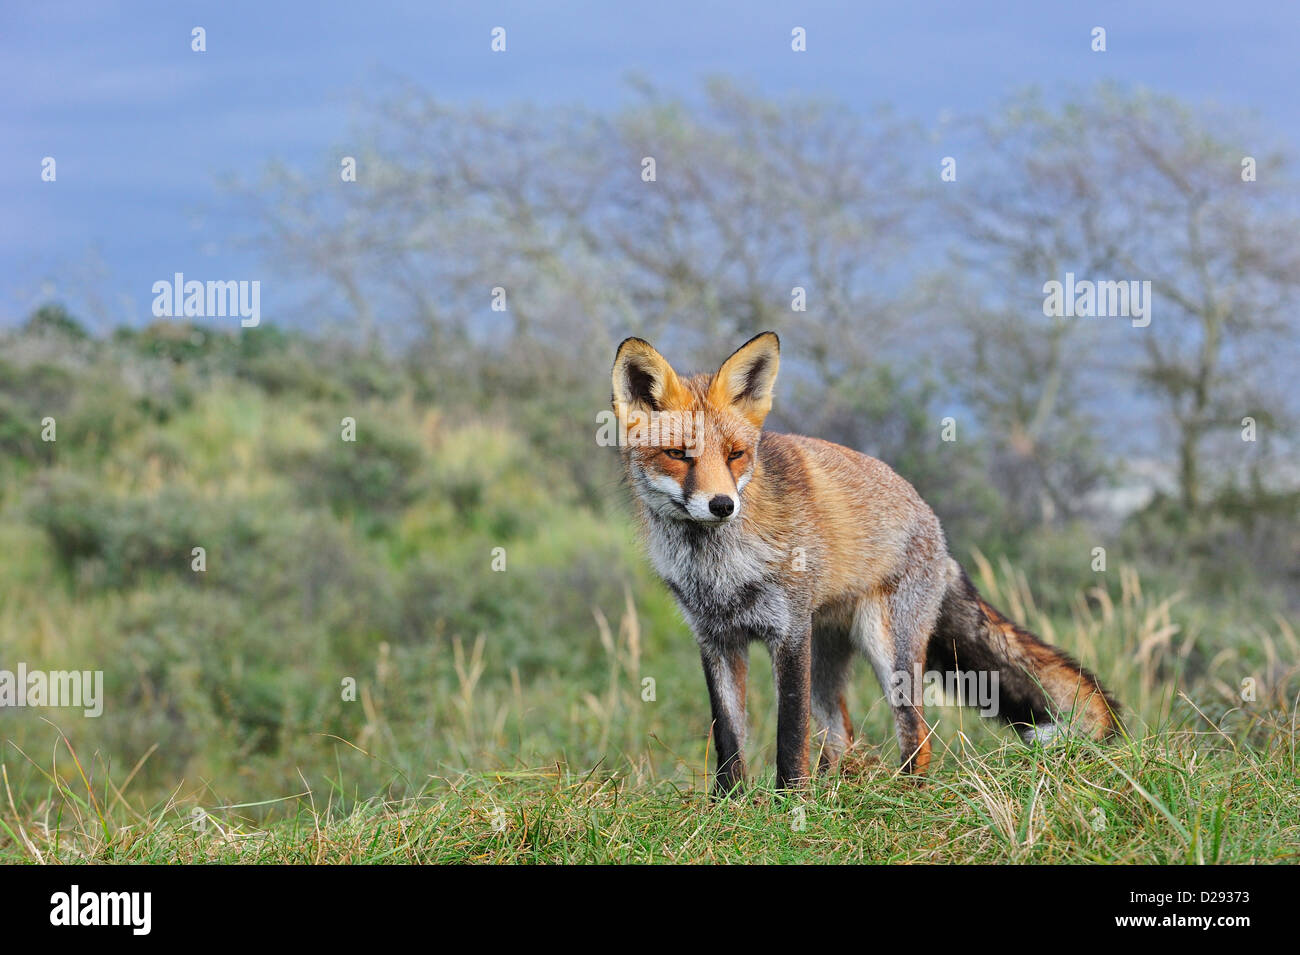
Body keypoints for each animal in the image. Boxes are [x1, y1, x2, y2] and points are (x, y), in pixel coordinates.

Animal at [610, 331, 1121, 794]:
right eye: (678, 455)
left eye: (736, 455)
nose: (722, 505)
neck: (718, 570)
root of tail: (934, 526)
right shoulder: (716, 640)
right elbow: (729, 739)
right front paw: (728, 807)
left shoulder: (788, 633)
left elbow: (789, 736)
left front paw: (788, 805)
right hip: (825, 662)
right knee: (843, 737)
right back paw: (840, 791)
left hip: (887, 649)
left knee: (918, 735)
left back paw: (903, 795)